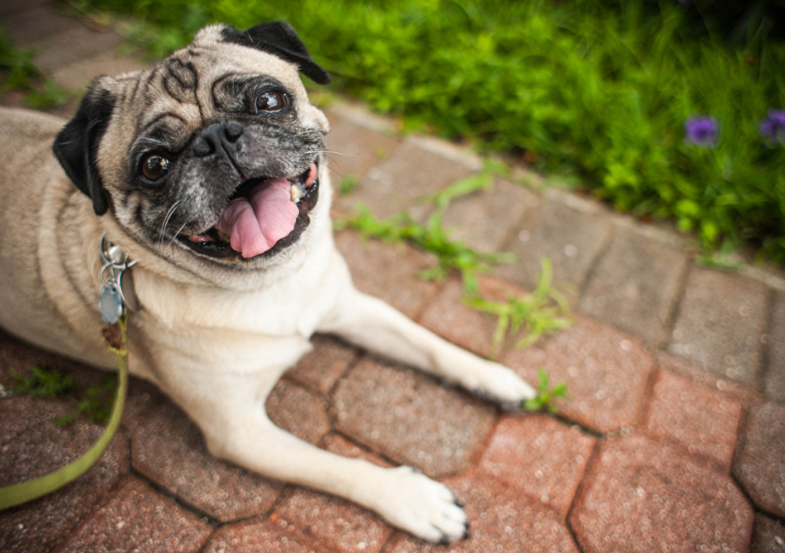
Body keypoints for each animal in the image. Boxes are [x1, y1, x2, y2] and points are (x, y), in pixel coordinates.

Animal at [0, 22, 532, 544]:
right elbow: (336, 467)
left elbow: (431, 344)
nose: (215, 138)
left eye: (268, 100)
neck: (268, 283)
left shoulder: (350, 307)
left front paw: (493, 376)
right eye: (154, 166)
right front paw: (413, 500)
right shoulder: (241, 432)